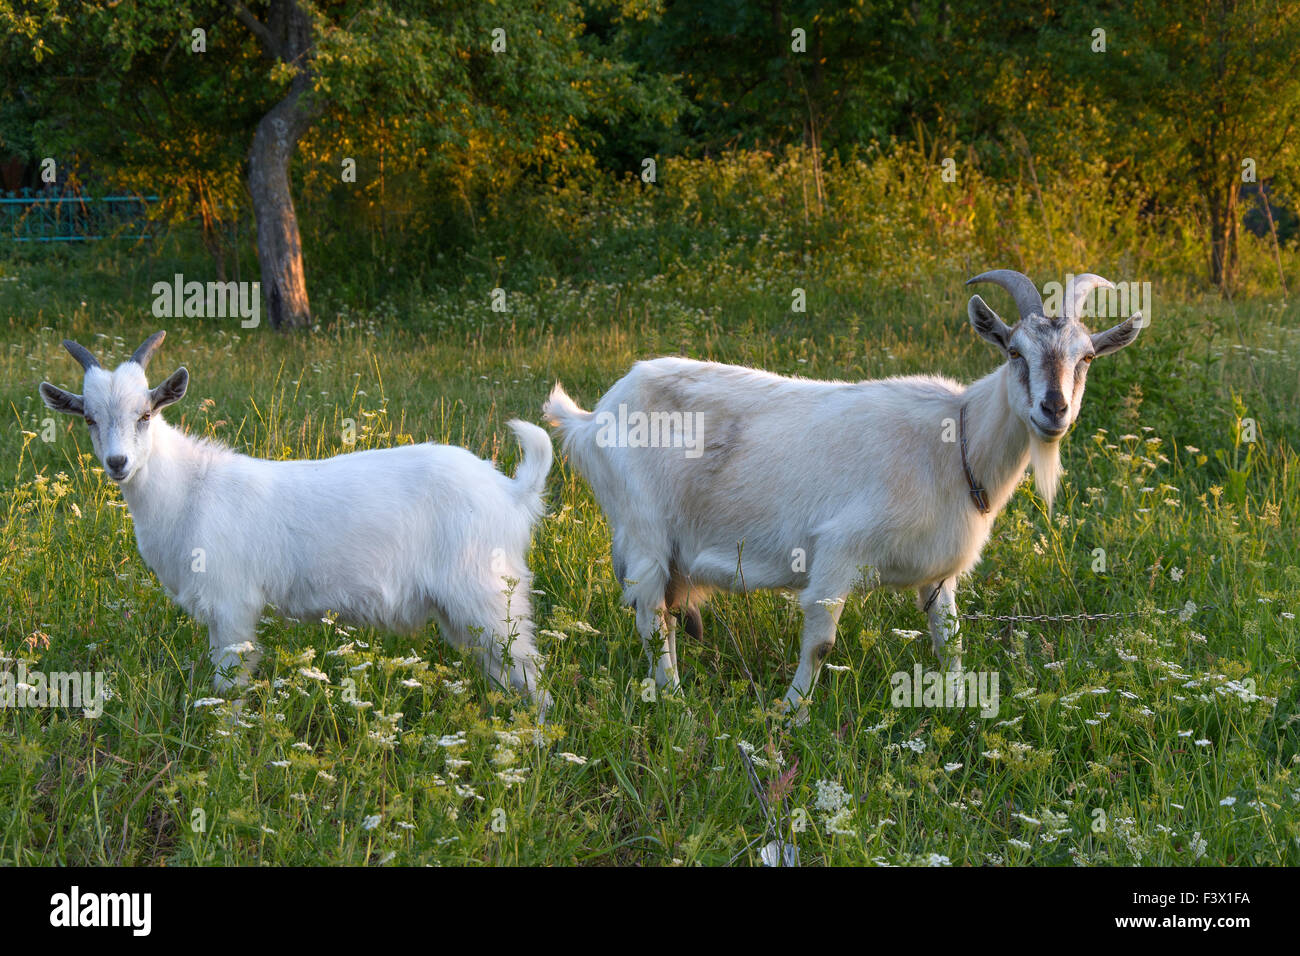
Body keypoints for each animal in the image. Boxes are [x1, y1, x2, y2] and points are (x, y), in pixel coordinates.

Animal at [41, 332, 553, 715]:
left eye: (145, 414)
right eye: (88, 419)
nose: (118, 463)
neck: (191, 490)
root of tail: (510, 493)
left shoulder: (231, 606)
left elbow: (229, 685)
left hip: (489, 595)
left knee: (531, 674)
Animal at [543, 270, 1141, 721]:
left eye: (1087, 357)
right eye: (1015, 352)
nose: (1054, 409)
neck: (957, 441)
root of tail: (589, 418)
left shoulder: (938, 572)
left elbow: (949, 639)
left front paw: (962, 701)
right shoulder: (838, 548)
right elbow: (820, 643)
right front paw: (791, 714)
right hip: (642, 528)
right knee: (650, 619)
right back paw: (676, 703)